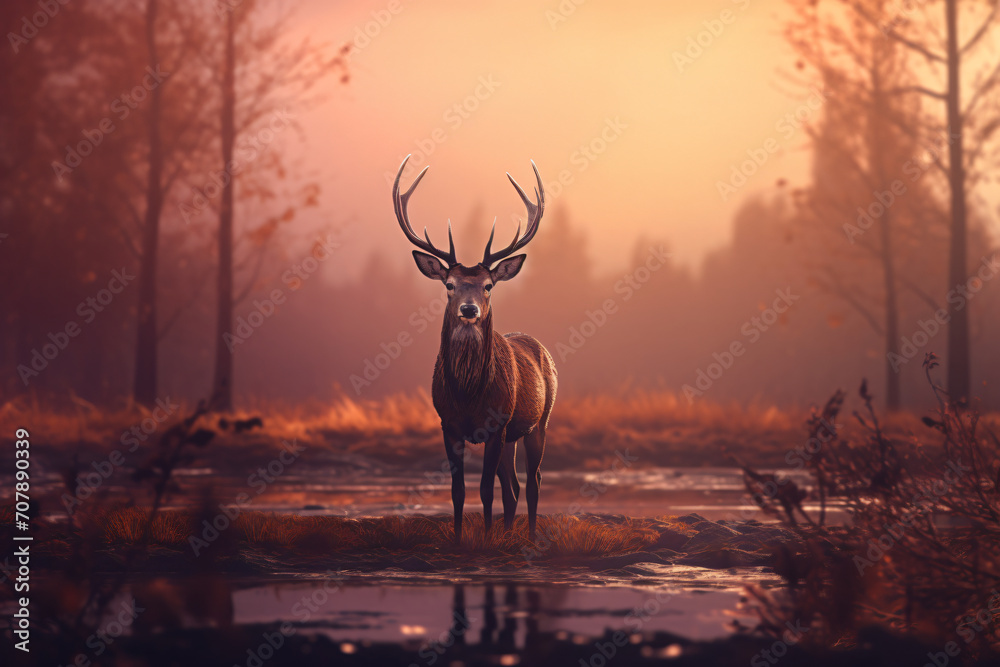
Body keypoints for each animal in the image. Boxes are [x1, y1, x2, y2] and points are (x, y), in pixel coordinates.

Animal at [392, 155, 557, 543]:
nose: (469, 310)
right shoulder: (447, 423)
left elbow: (484, 490)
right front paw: (457, 540)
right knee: (513, 487)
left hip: (539, 421)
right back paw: (510, 533)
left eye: (488, 285)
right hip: (513, 434)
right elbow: (458, 491)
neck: (468, 395)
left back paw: (528, 537)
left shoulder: (496, 423)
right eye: (449, 284)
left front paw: (484, 541)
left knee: (533, 482)